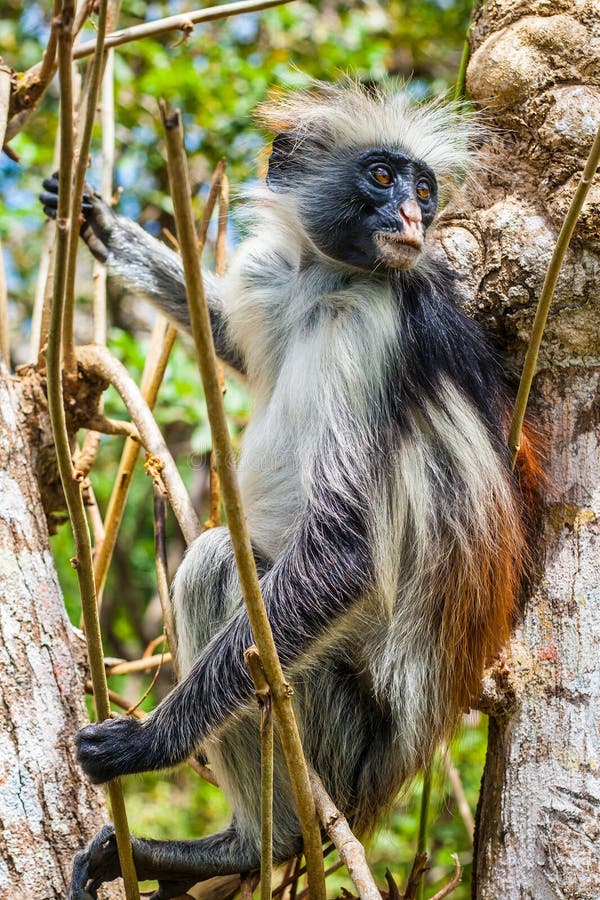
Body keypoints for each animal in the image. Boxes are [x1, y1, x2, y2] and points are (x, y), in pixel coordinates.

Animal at [40, 81, 538, 900]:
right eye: (382, 178)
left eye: (423, 190)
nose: (412, 219)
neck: (326, 279)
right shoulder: (273, 278)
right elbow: (226, 334)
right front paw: (99, 222)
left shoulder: (375, 329)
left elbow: (344, 551)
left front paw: (153, 742)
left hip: (336, 732)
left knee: (215, 565)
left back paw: (247, 846)